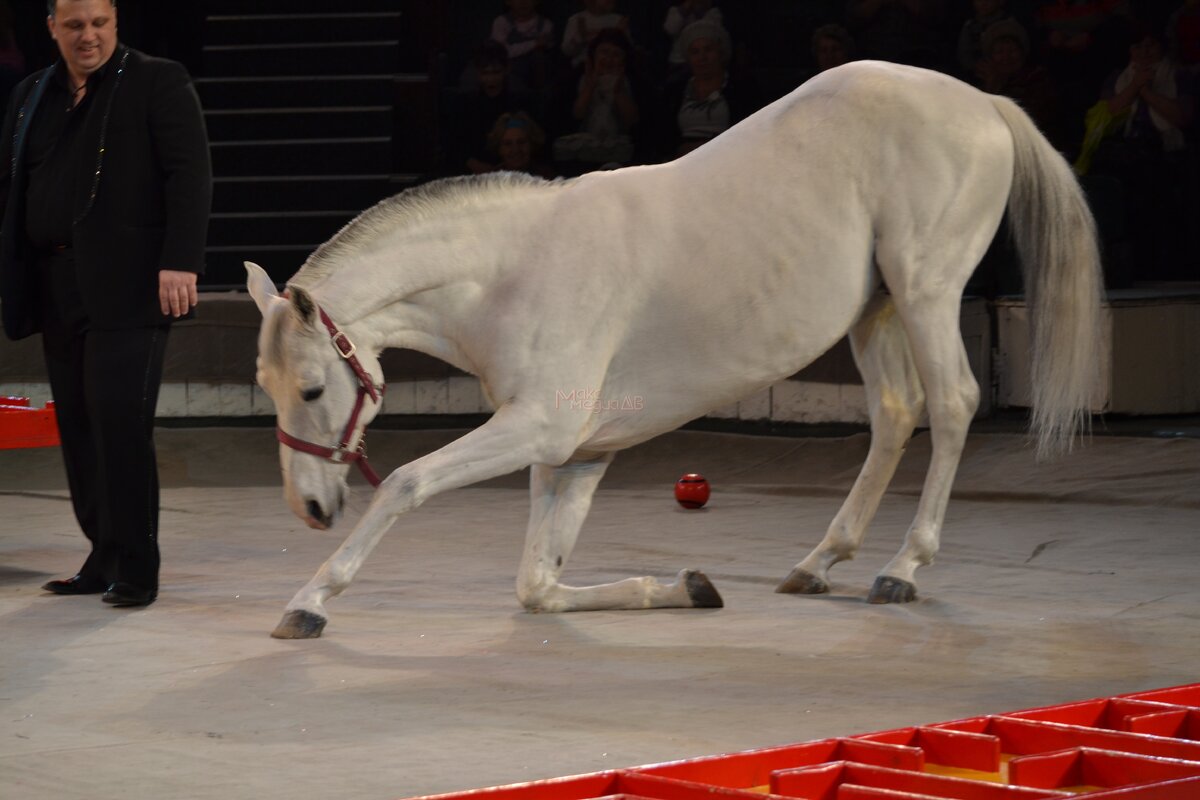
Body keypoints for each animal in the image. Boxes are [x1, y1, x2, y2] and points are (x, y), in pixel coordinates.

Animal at [248, 61, 1099, 638]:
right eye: (271, 388)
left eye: (314, 389)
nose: (311, 508)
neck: (514, 269)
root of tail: (982, 103)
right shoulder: (575, 451)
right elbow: (536, 584)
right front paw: (687, 587)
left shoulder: (539, 430)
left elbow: (408, 484)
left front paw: (309, 601)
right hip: (876, 308)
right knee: (895, 414)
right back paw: (821, 561)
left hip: (926, 291)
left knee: (952, 405)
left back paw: (901, 568)